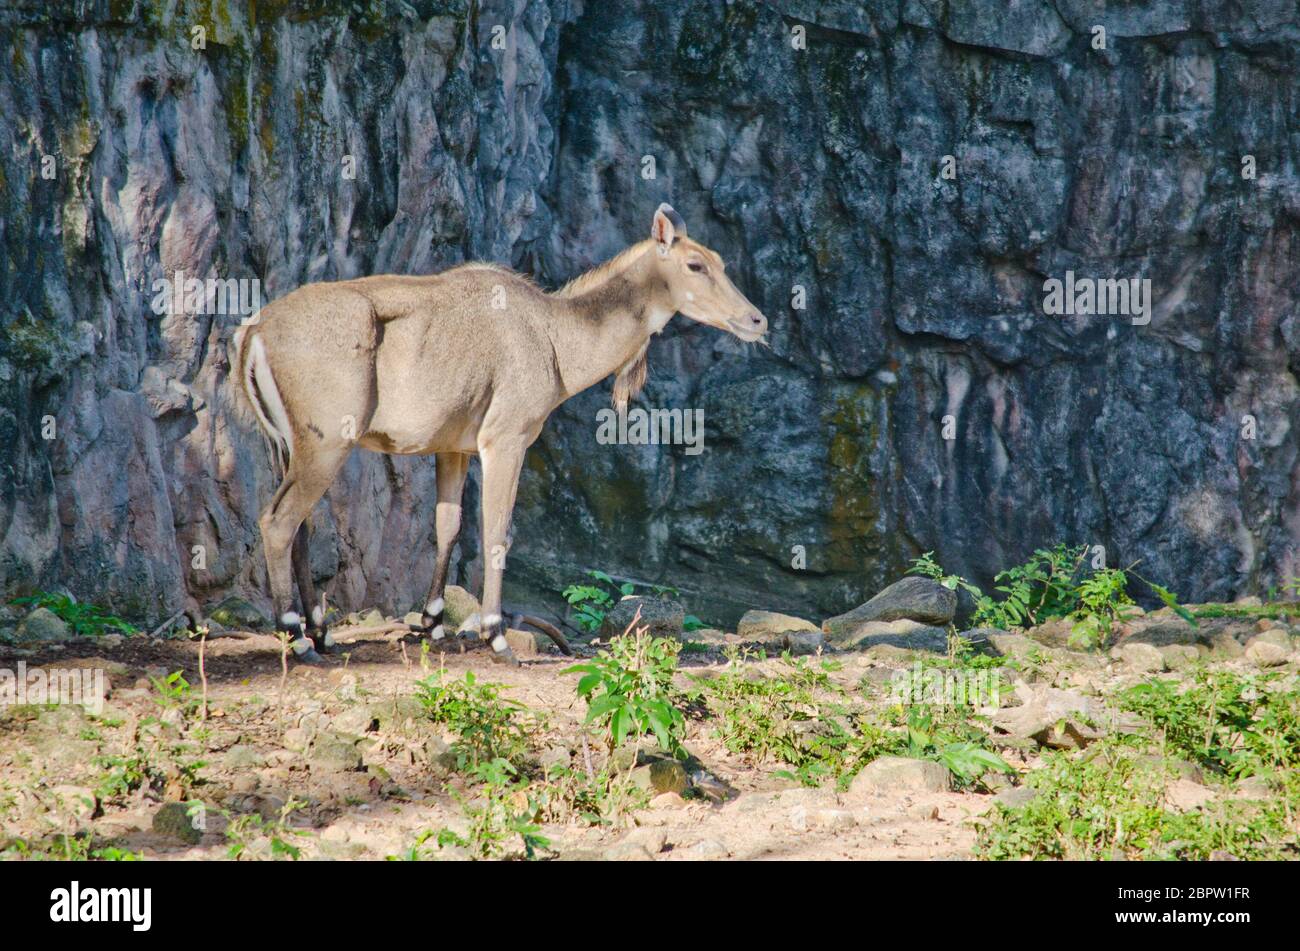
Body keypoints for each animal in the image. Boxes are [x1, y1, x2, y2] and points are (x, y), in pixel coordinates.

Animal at [230, 203, 767, 665]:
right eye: (695, 264)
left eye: (720, 262)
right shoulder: (506, 439)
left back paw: (320, 633)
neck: (555, 336)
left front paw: (432, 624)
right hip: (327, 443)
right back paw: (297, 638)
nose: (757, 320)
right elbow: (496, 531)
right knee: (278, 521)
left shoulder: (453, 448)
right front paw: (495, 634)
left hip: (290, 446)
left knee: (298, 528)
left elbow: (448, 525)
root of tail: (254, 333)